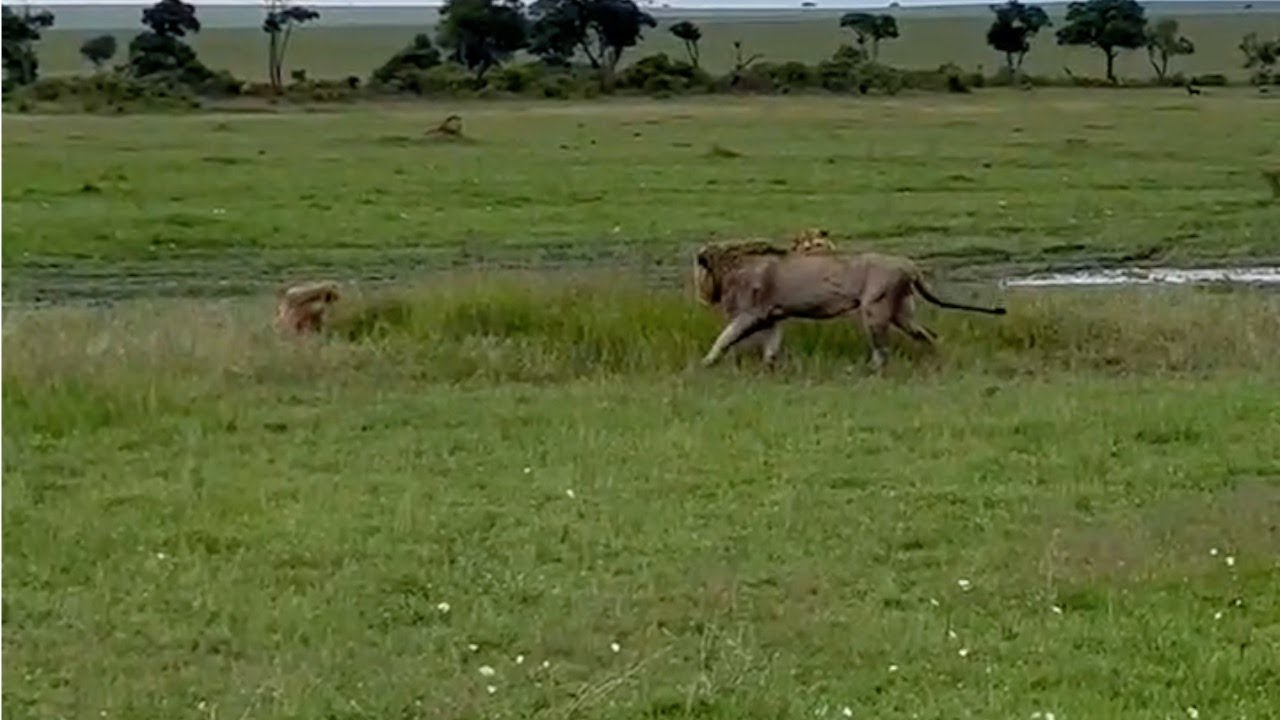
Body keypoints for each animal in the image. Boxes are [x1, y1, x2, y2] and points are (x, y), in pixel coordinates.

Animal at [693, 242, 1005, 370]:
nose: (700, 295)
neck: (730, 267)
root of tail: (910, 266)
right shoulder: (773, 317)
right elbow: (771, 345)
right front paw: (770, 368)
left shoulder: (751, 314)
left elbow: (724, 338)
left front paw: (706, 362)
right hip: (900, 312)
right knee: (927, 335)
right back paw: (935, 359)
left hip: (874, 308)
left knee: (882, 351)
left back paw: (866, 370)